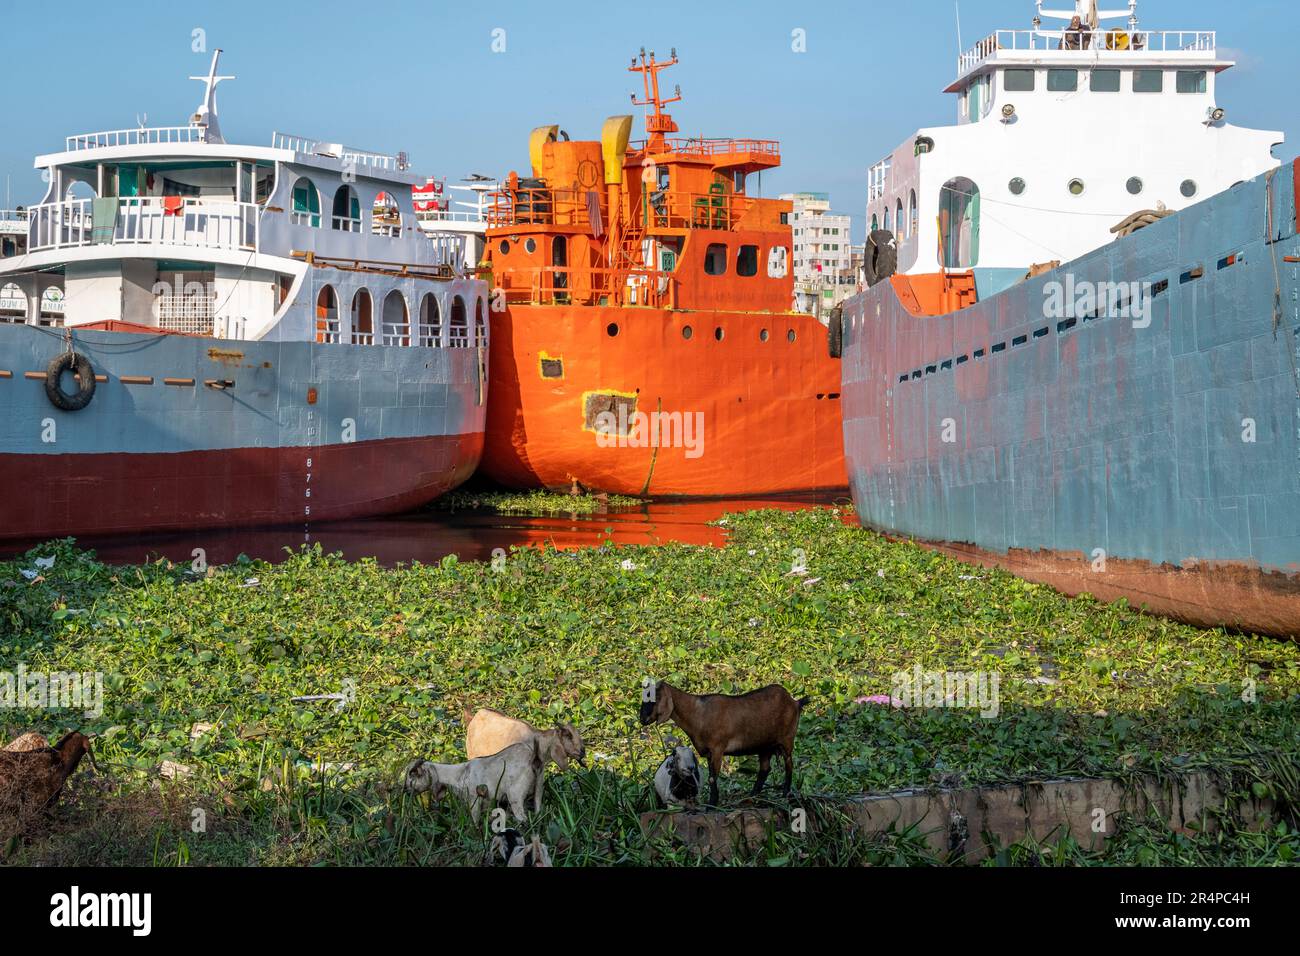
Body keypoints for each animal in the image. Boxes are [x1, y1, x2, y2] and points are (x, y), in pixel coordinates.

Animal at [404, 735, 564, 823]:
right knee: (538, 812)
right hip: (539, 787)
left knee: (522, 818)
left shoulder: (474, 799)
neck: (460, 773)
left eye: (412, 776)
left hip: (515, 795)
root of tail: (533, 758)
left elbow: (475, 820)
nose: (405, 791)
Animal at [639, 682, 808, 806]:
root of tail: (795, 702)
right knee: (765, 769)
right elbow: (711, 776)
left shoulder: (717, 749)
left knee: (789, 764)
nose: (642, 719)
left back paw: (785, 794)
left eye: (654, 697)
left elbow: (712, 777)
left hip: (787, 739)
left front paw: (712, 804)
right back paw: (751, 797)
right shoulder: (708, 753)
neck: (698, 713)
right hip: (764, 746)